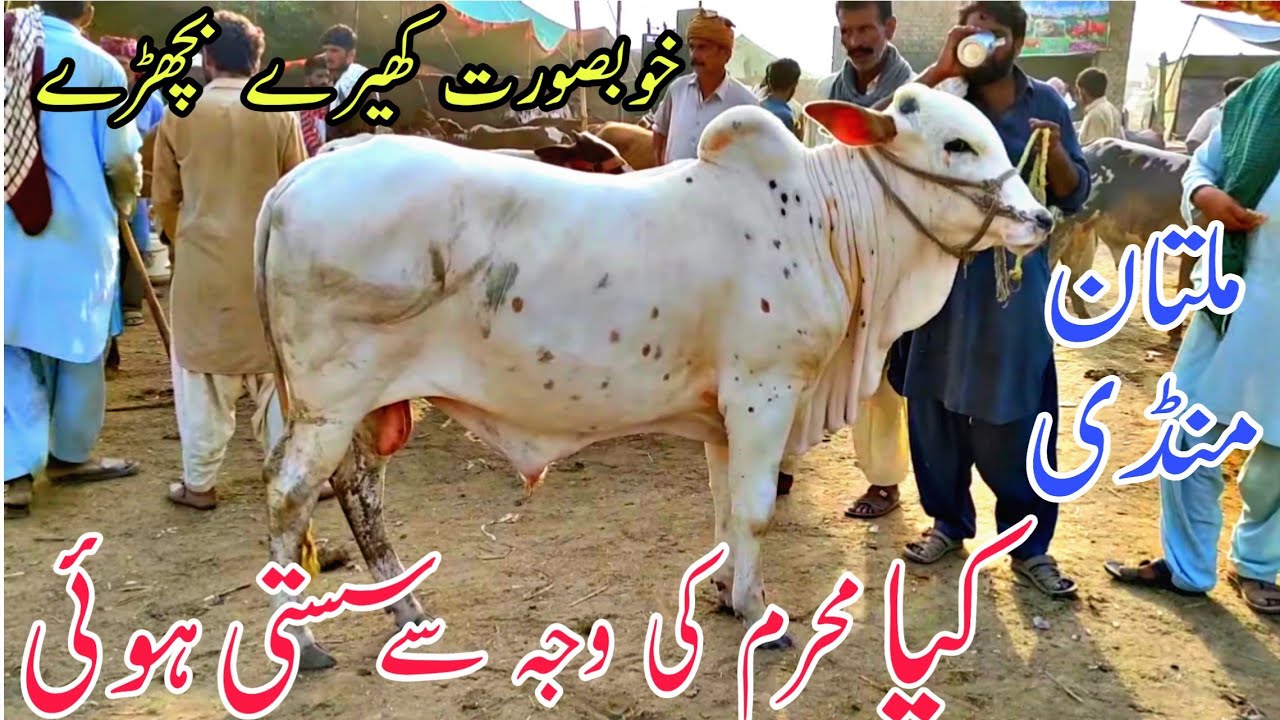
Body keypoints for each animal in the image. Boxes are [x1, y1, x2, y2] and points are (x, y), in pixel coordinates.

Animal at [252, 81, 1053, 668]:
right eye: (956, 143)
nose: (1041, 218)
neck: (825, 222)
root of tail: (298, 178)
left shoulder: (725, 416)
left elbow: (726, 510)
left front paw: (728, 591)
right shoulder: (765, 394)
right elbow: (754, 510)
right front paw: (762, 616)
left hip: (363, 406)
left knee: (360, 493)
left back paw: (406, 610)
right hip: (331, 400)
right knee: (290, 498)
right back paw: (303, 639)